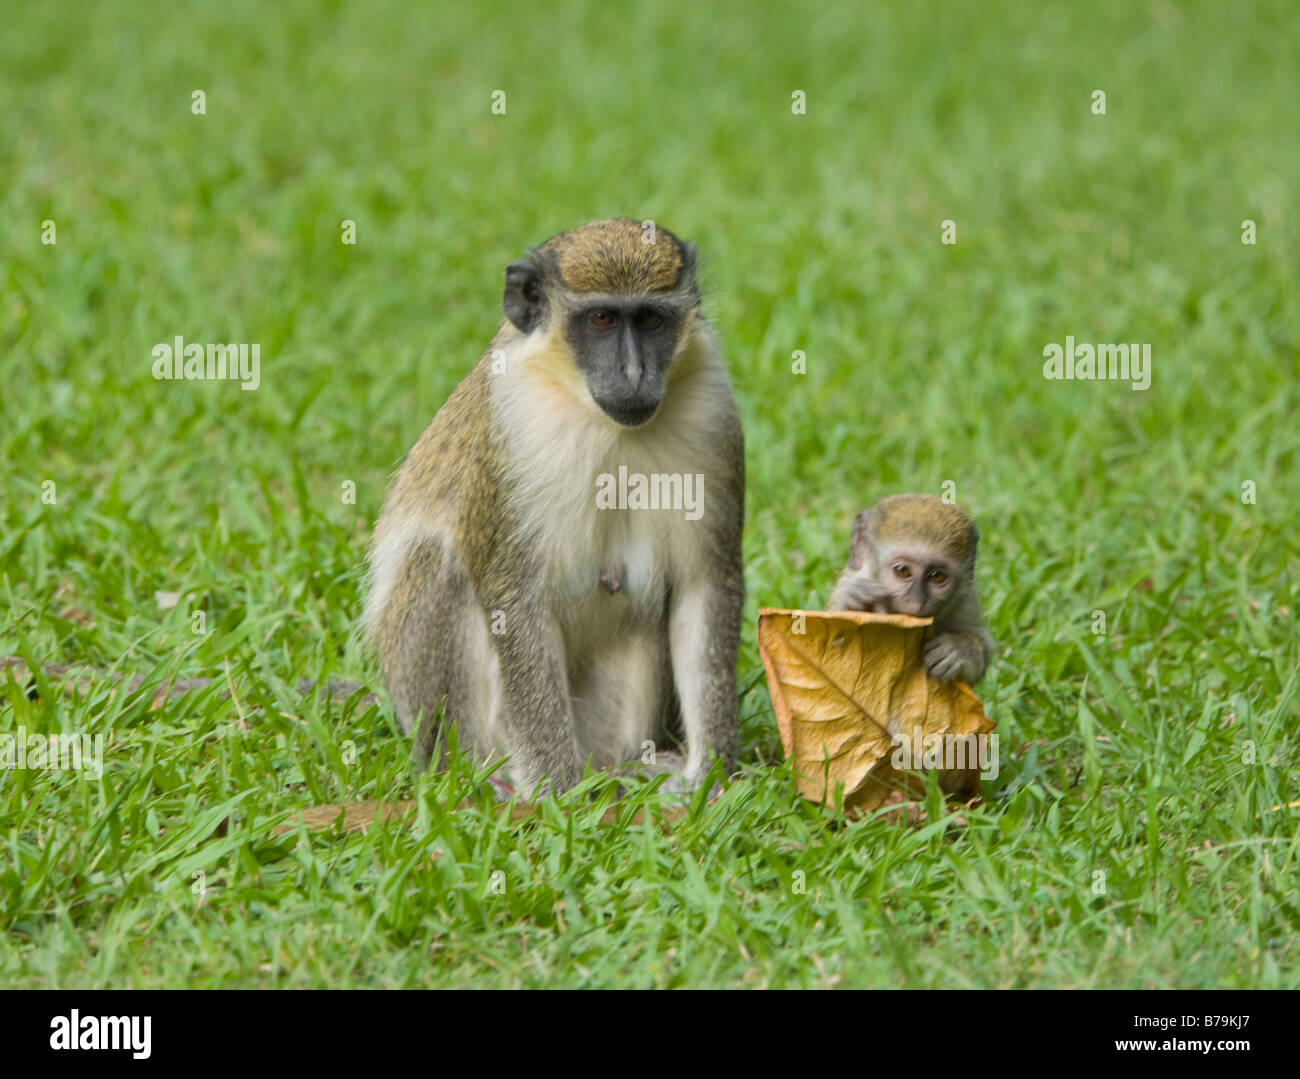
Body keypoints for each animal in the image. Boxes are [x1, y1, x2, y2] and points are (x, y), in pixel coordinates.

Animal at [363, 218, 744, 797]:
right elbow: (513, 598)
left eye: (651, 319)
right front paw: (557, 791)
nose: (633, 372)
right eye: (602, 319)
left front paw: (710, 776)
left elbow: (705, 585)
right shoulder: (509, 431)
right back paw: (479, 778)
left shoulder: (713, 412)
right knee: (438, 567)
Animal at [828, 493, 993, 686]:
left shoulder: (966, 600)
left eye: (937, 576)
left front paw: (961, 650)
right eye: (902, 571)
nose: (916, 603)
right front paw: (857, 604)